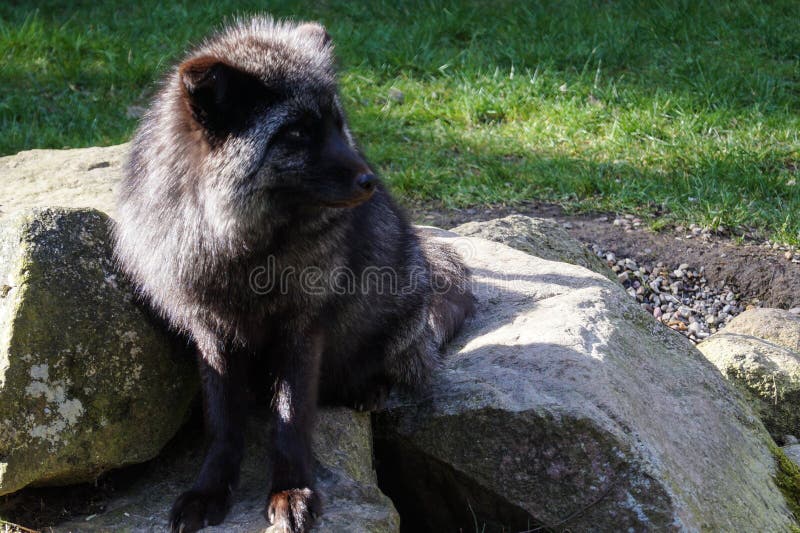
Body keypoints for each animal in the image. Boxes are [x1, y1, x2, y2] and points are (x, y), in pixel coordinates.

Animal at [113, 16, 473, 533]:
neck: (246, 250)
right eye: (298, 133)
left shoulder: (302, 327)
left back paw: (369, 387)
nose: (371, 182)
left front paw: (291, 491)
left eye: (339, 125)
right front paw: (208, 491)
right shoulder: (210, 332)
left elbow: (292, 416)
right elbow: (222, 424)